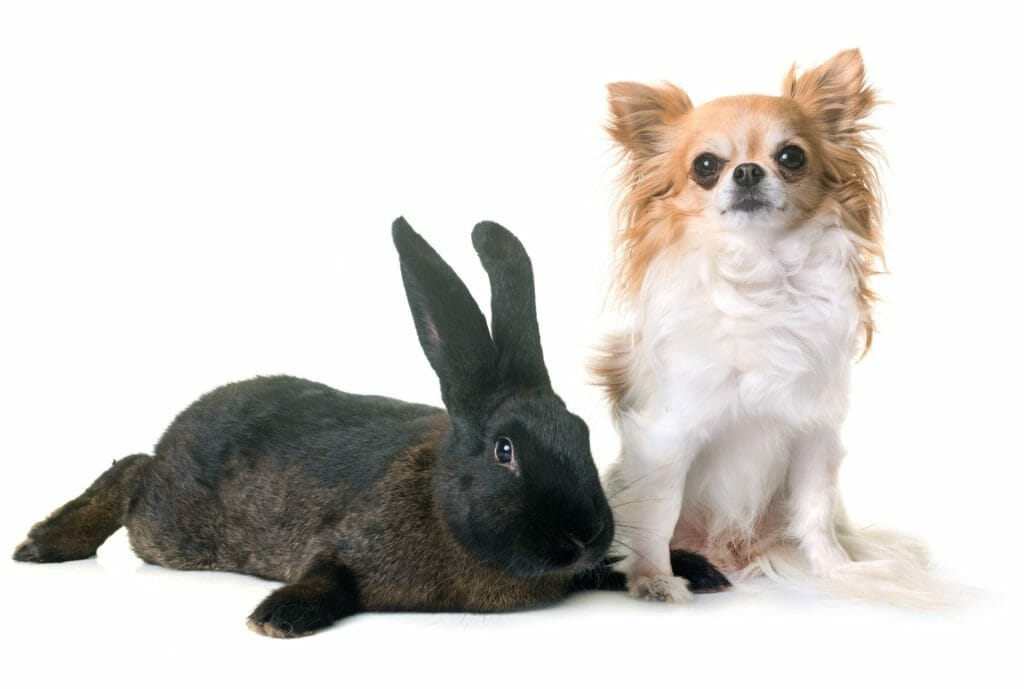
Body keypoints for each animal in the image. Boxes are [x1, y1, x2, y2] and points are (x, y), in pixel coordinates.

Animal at [13, 217, 729, 637]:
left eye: (582, 430)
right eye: (505, 451)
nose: (582, 536)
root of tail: (176, 430)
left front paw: (697, 569)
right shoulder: (341, 540)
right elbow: (328, 574)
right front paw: (278, 618)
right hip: (167, 528)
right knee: (131, 471)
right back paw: (43, 544)